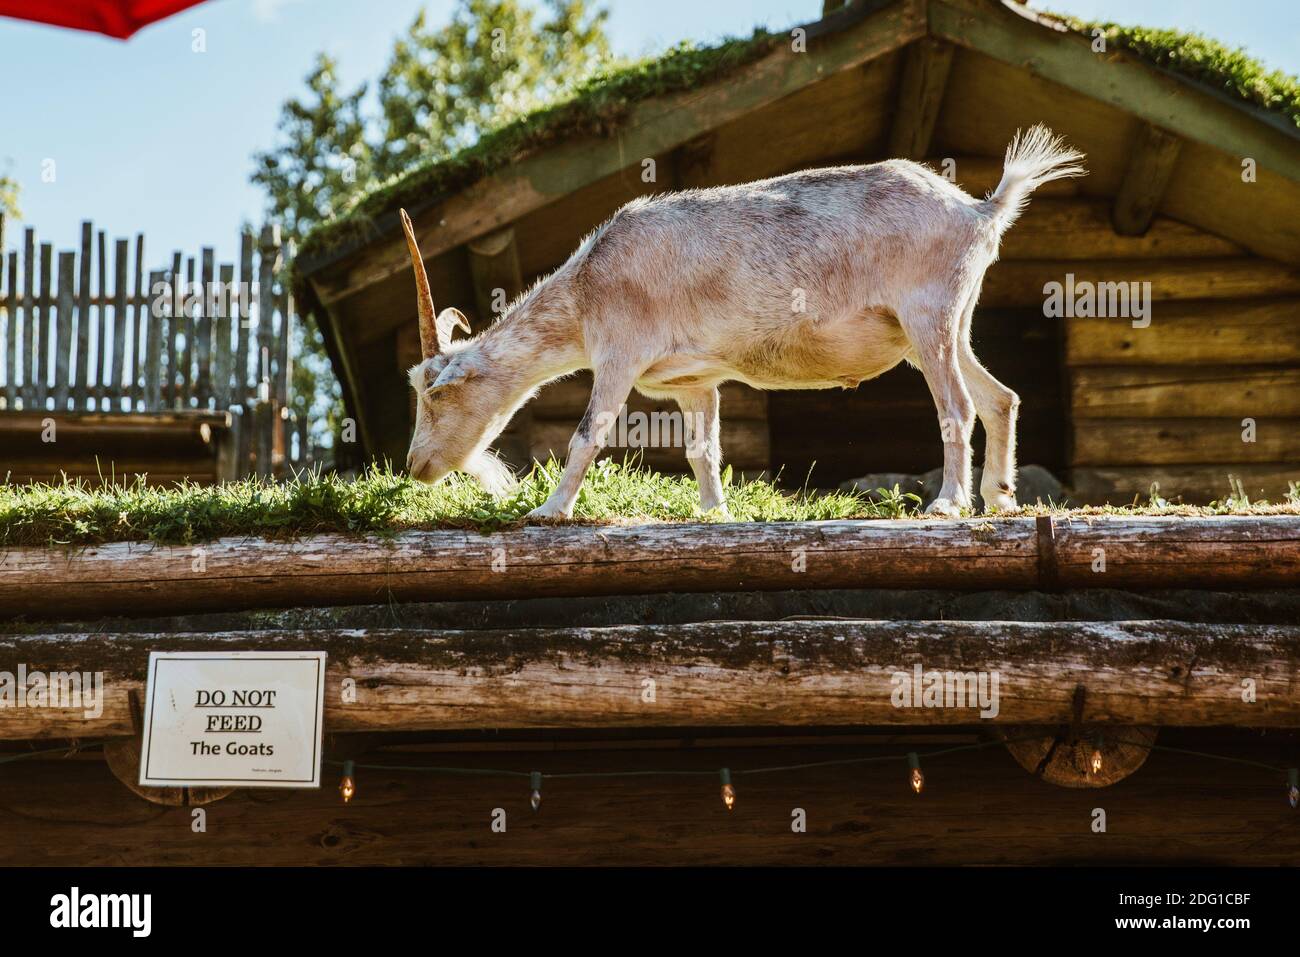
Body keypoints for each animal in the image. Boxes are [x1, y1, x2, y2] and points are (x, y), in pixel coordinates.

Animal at [401, 125, 1085, 518]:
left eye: (435, 395)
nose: (415, 467)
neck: (589, 285)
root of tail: (980, 210)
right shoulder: (694, 381)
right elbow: (703, 448)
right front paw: (713, 513)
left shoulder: (618, 355)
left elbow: (586, 435)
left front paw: (548, 512)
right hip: (947, 325)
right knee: (1000, 398)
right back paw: (999, 500)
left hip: (929, 315)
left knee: (959, 407)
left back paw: (947, 504)